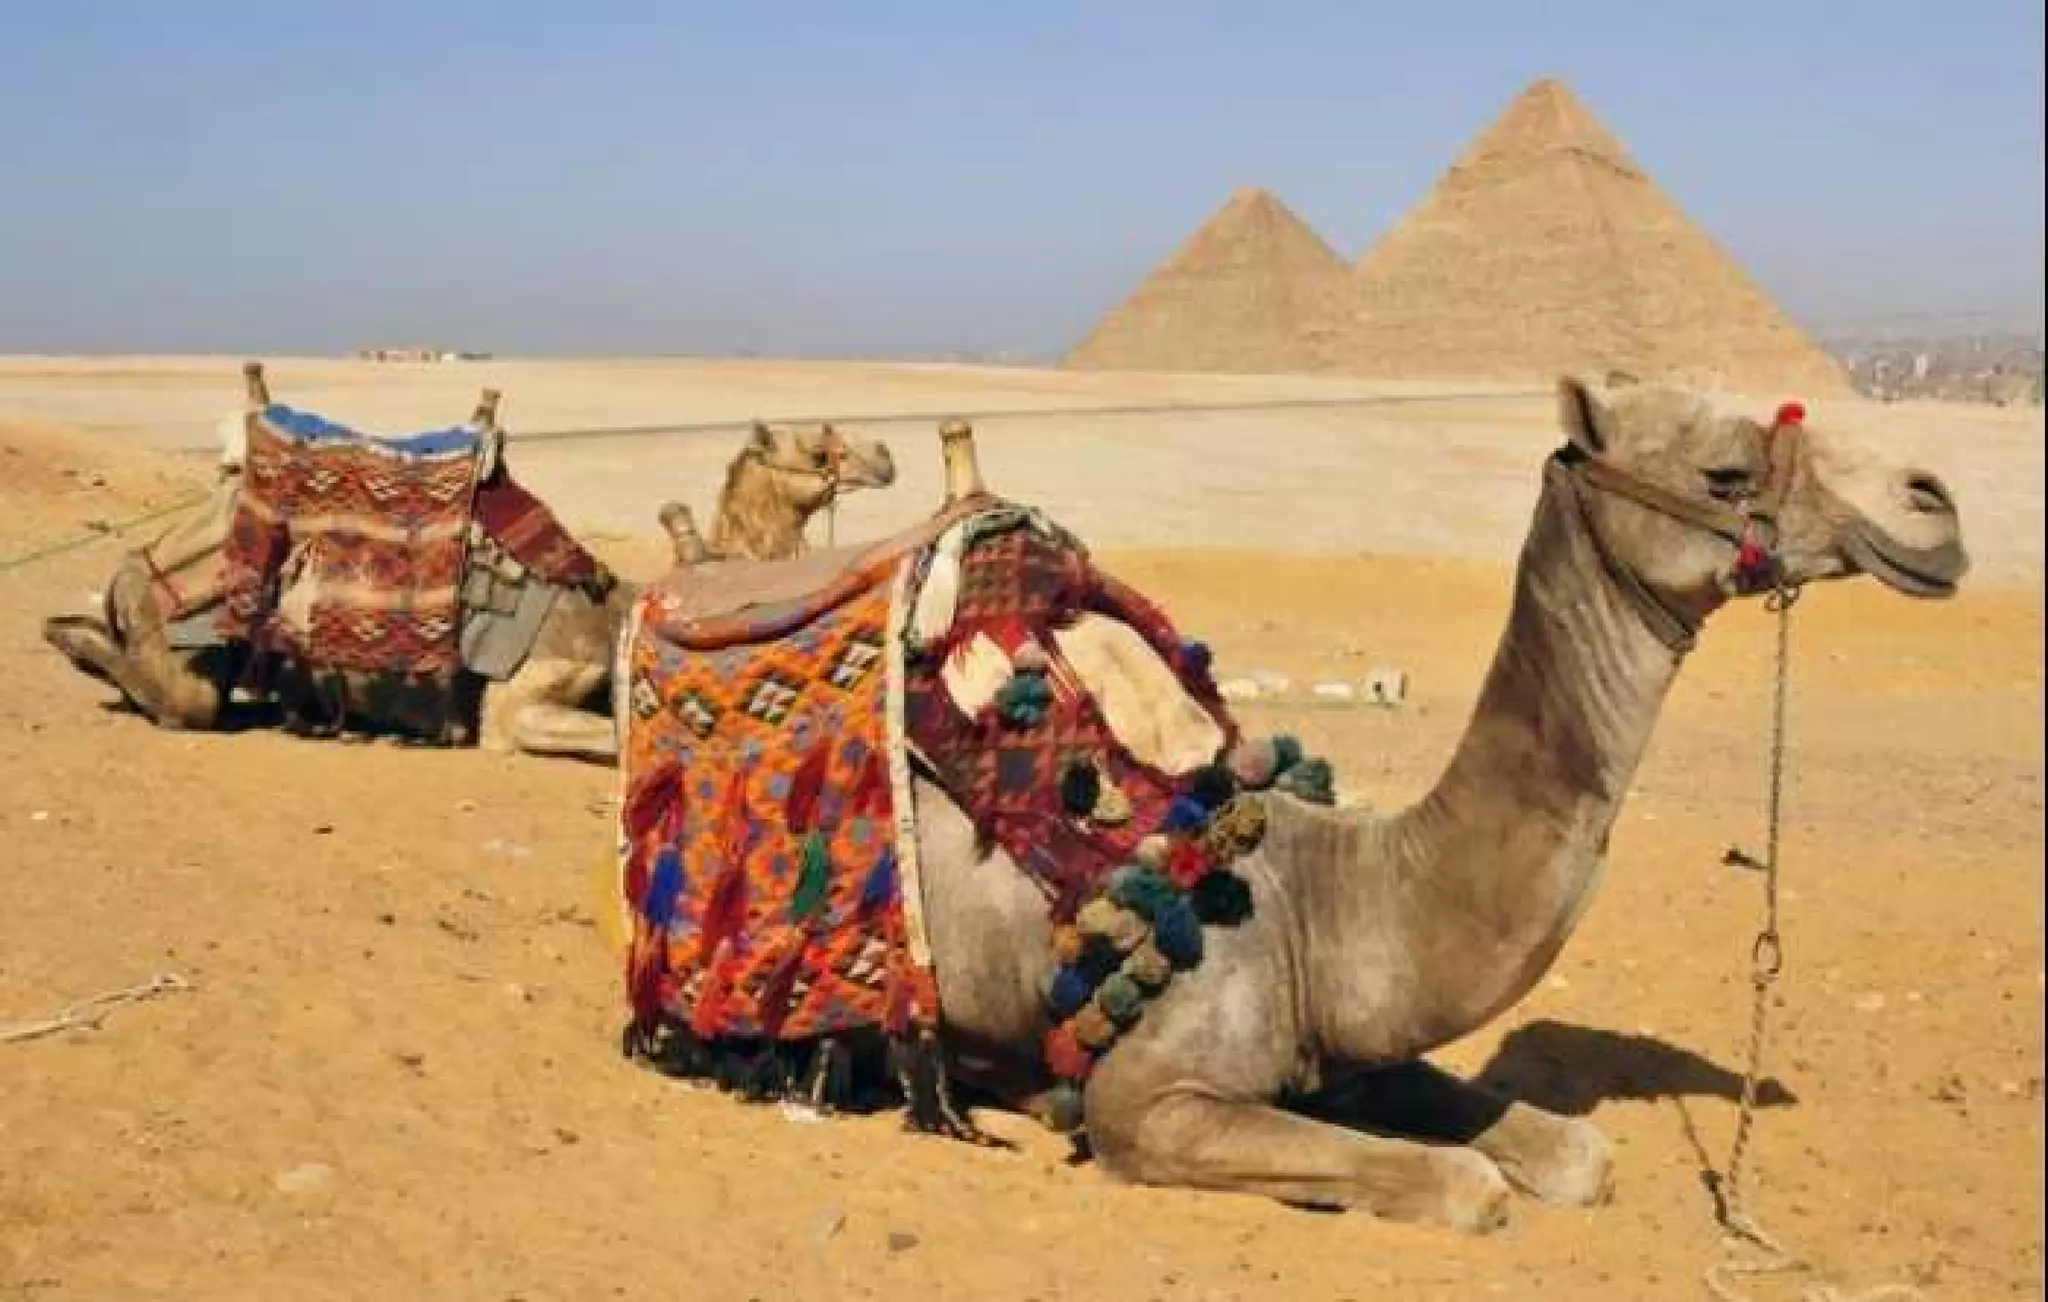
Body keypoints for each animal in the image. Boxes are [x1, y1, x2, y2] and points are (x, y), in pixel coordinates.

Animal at [41, 372, 896, 763]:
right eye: (818, 448)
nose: (886, 455)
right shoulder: (522, 696)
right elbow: (593, 736)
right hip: (184, 641)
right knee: (171, 694)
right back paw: (73, 639)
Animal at [857, 377, 1966, 1231]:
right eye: (1725, 473)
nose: (1931, 503)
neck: (1321, 901)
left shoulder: (1356, 1051)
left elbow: (1577, 1157)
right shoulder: (1148, 1104)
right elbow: (1469, 1184)